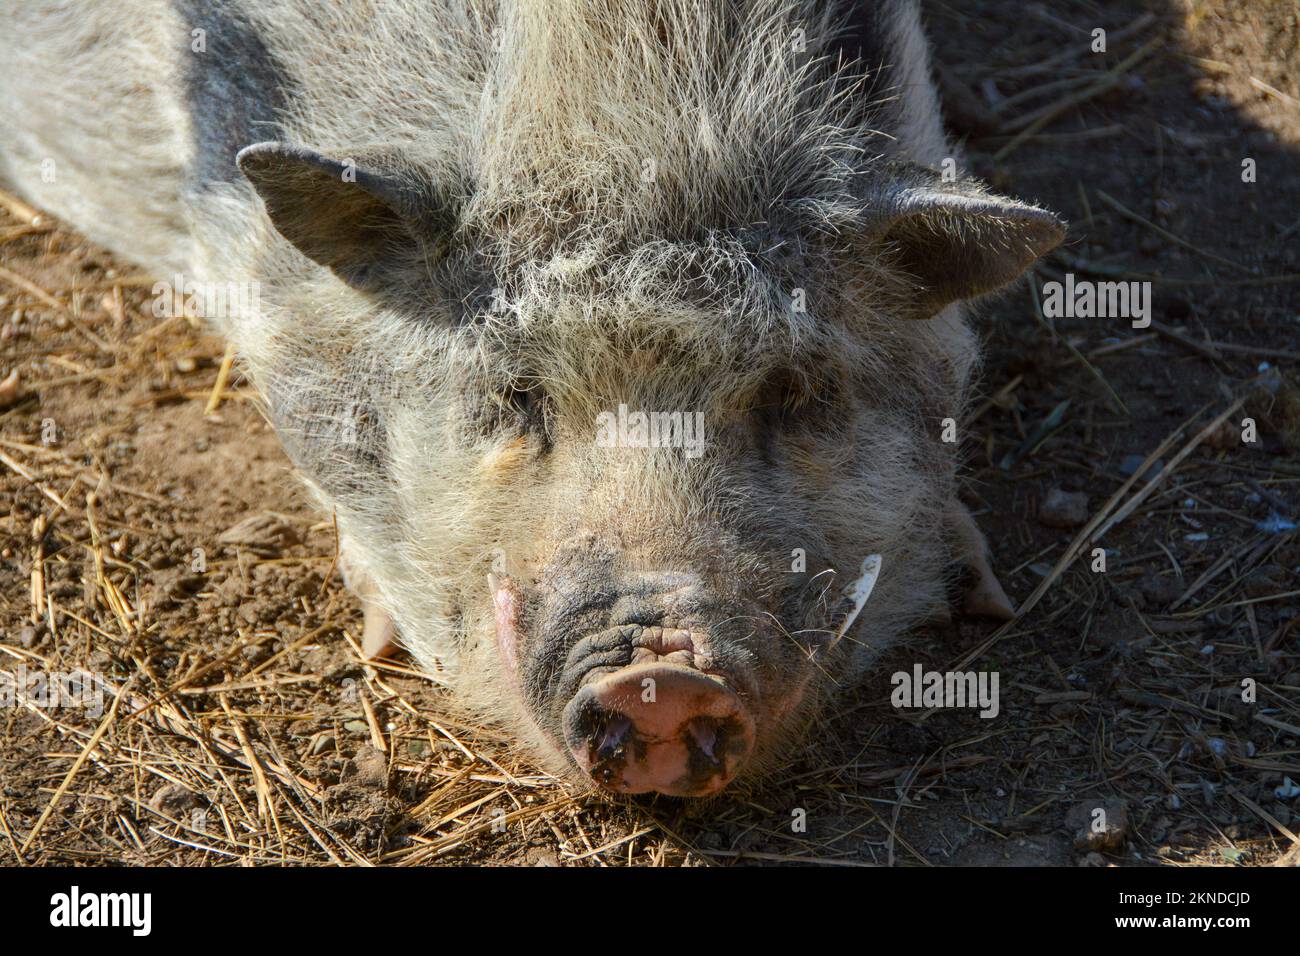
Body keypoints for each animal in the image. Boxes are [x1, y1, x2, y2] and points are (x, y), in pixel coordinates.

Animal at [0, 0, 1063, 797]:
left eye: (796, 391)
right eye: (514, 395)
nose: (660, 675)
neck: (639, 121)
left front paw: (984, 597)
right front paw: (380, 643)